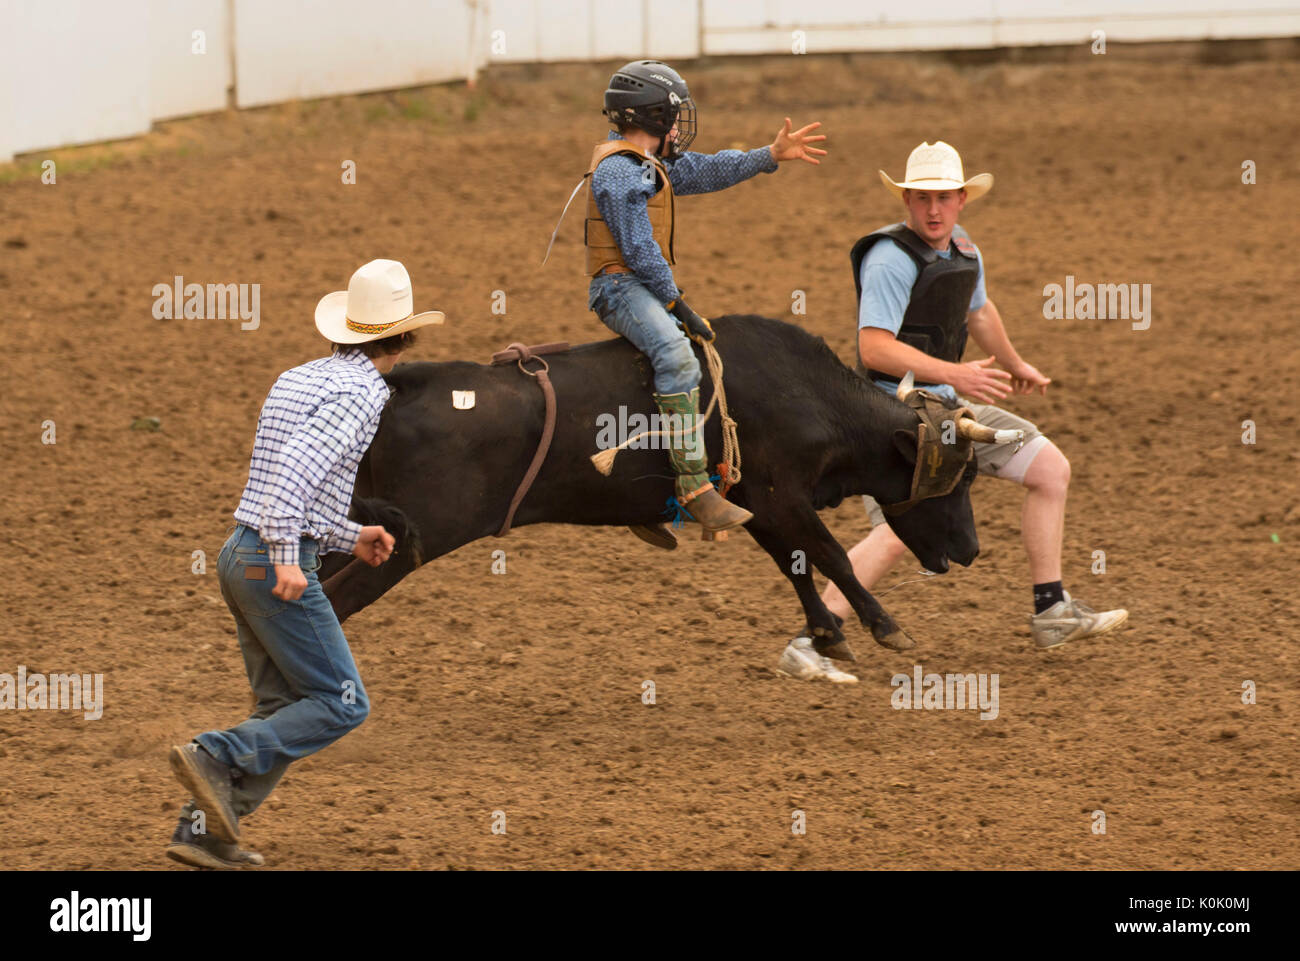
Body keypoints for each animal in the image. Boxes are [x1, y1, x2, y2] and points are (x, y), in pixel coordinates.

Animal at [317, 314, 1012, 661]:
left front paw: (826, 634)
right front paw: (885, 626)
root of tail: (403, 382)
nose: (973, 550)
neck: (810, 394)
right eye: (960, 476)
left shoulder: (754, 504)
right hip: (405, 541)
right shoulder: (782, 496)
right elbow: (832, 556)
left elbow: (794, 564)